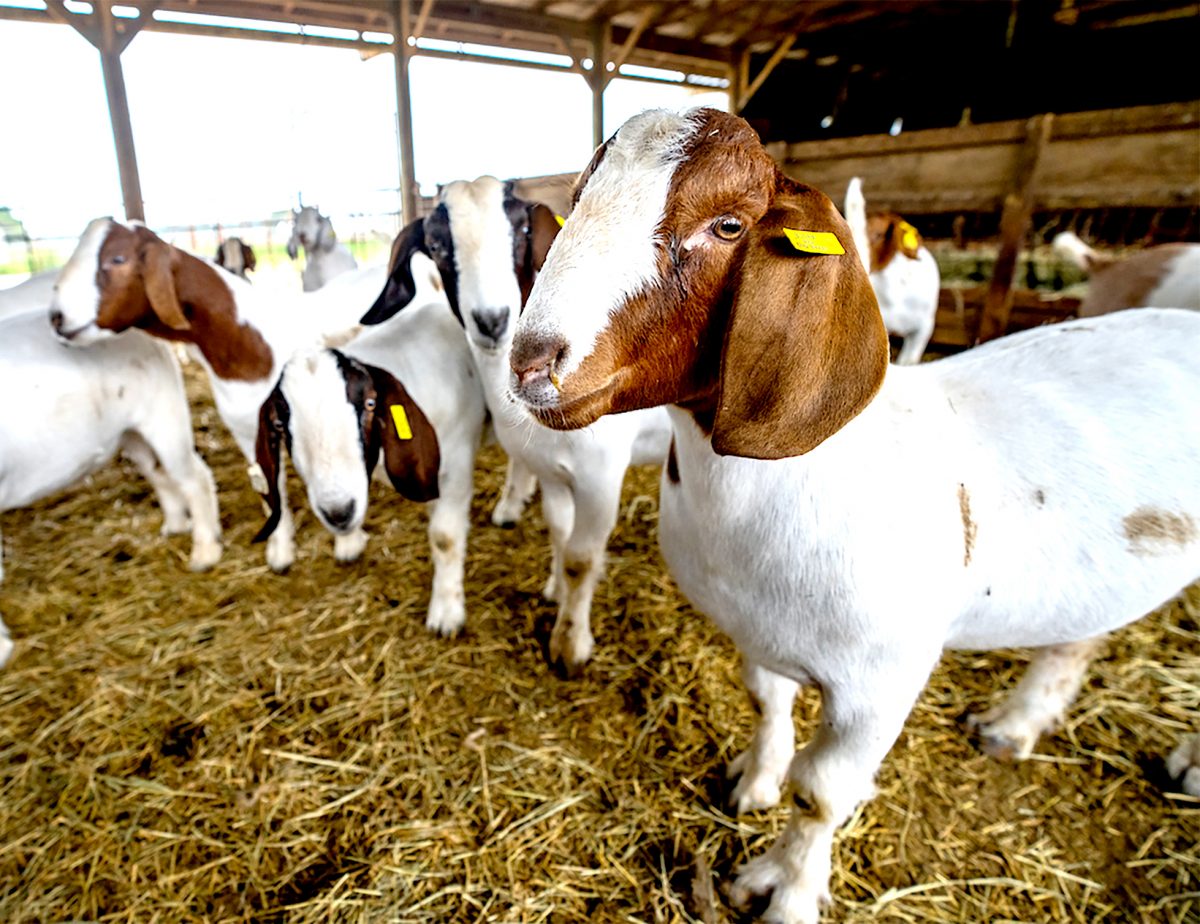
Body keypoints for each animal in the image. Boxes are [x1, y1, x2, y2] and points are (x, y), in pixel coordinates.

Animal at [0, 310, 222, 667]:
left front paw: (1, 648)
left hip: (163, 415)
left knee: (195, 479)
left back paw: (205, 551)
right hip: (131, 432)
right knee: (157, 473)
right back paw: (175, 525)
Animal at [47, 217, 411, 572]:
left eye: (117, 259)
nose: (56, 317)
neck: (251, 341)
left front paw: (348, 544)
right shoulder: (249, 428)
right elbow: (268, 488)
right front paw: (280, 553)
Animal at [254, 295, 485, 634]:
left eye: (370, 403)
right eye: (280, 425)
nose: (338, 512)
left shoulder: (455, 467)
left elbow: (444, 538)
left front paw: (446, 614)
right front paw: (349, 542)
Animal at [360, 175, 672, 675]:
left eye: (522, 230)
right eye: (436, 245)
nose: (492, 320)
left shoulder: (601, 476)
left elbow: (581, 558)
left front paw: (570, 644)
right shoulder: (552, 472)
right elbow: (560, 535)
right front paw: (556, 593)